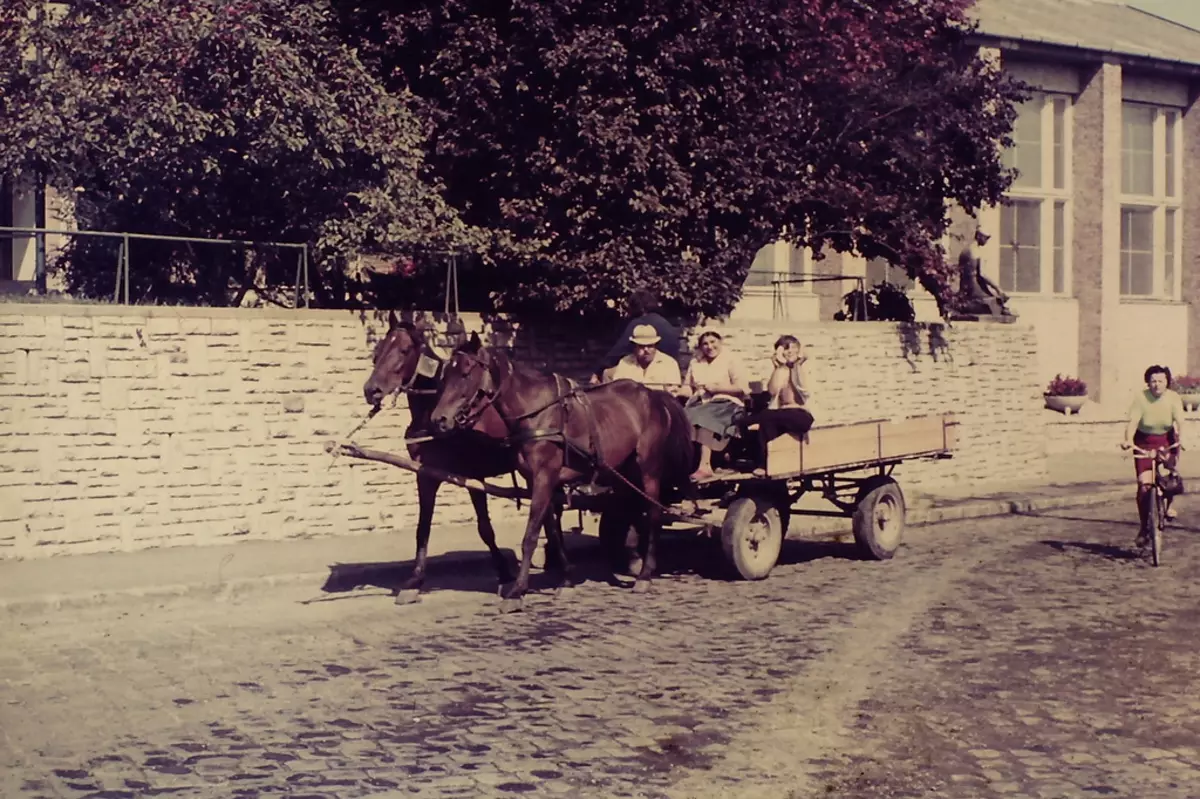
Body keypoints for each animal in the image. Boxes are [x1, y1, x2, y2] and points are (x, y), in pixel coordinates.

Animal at [362, 314, 568, 599]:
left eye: (403, 350)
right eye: (379, 349)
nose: (371, 390)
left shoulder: (473, 477)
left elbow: (485, 528)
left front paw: (504, 572)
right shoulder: (426, 476)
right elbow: (423, 527)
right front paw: (415, 579)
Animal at [432, 333, 696, 607]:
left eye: (465, 373)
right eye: (445, 375)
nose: (439, 419)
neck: (537, 414)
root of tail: (654, 396)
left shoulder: (544, 477)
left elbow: (531, 535)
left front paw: (517, 591)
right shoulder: (537, 480)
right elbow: (552, 531)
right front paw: (566, 580)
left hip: (649, 468)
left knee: (653, 514)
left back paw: (645, 575)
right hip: (624, 470)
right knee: (631, 509)